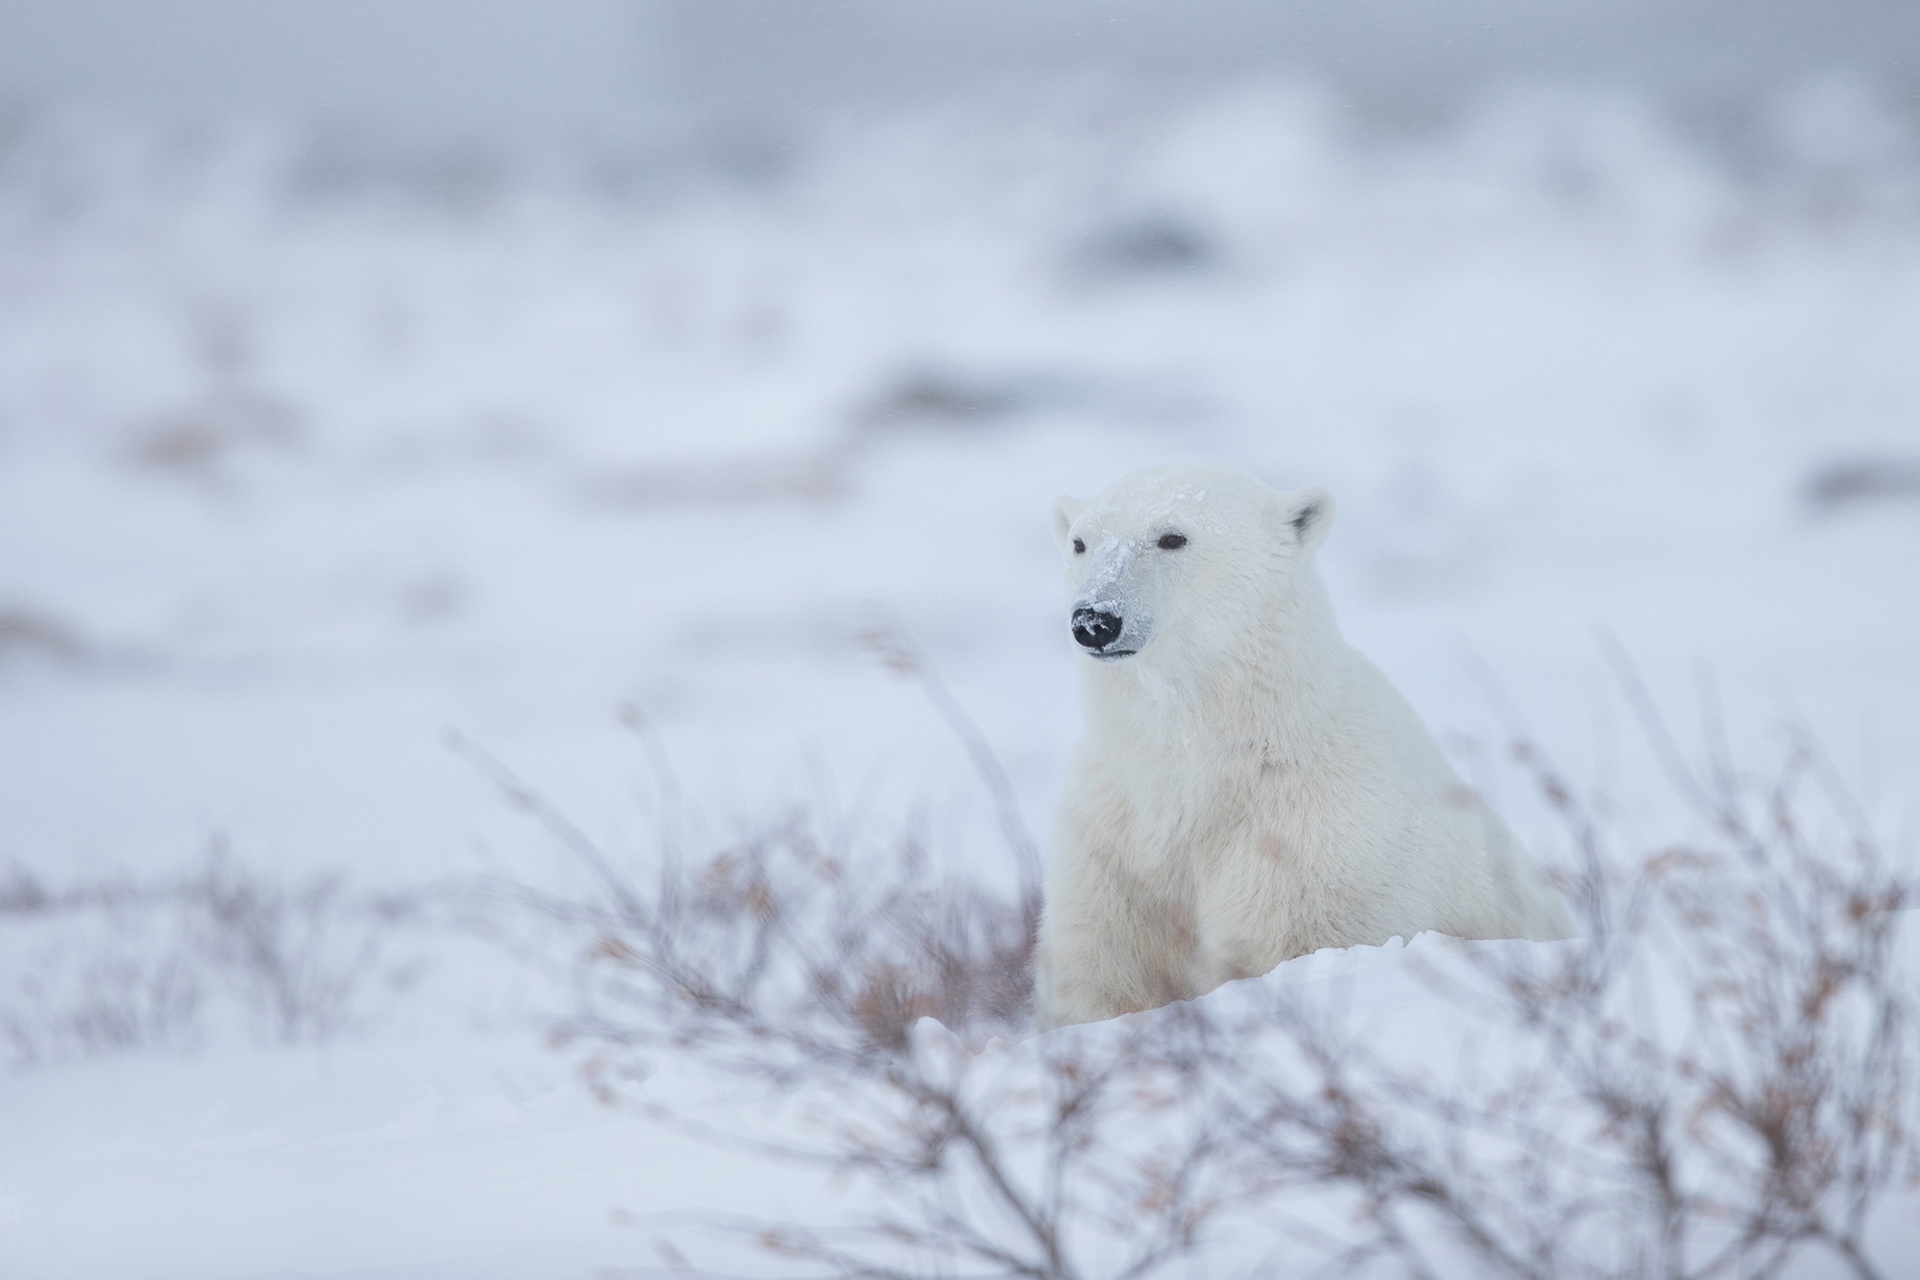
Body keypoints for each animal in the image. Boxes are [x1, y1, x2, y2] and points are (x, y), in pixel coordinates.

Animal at [1036, 464, 1573, 1028]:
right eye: (1080, 542)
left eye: (1172, 537)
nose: (1095, 620)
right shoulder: (1115, 839)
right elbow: (1103, 971)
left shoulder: (1313, 840)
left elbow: (1290, 944)